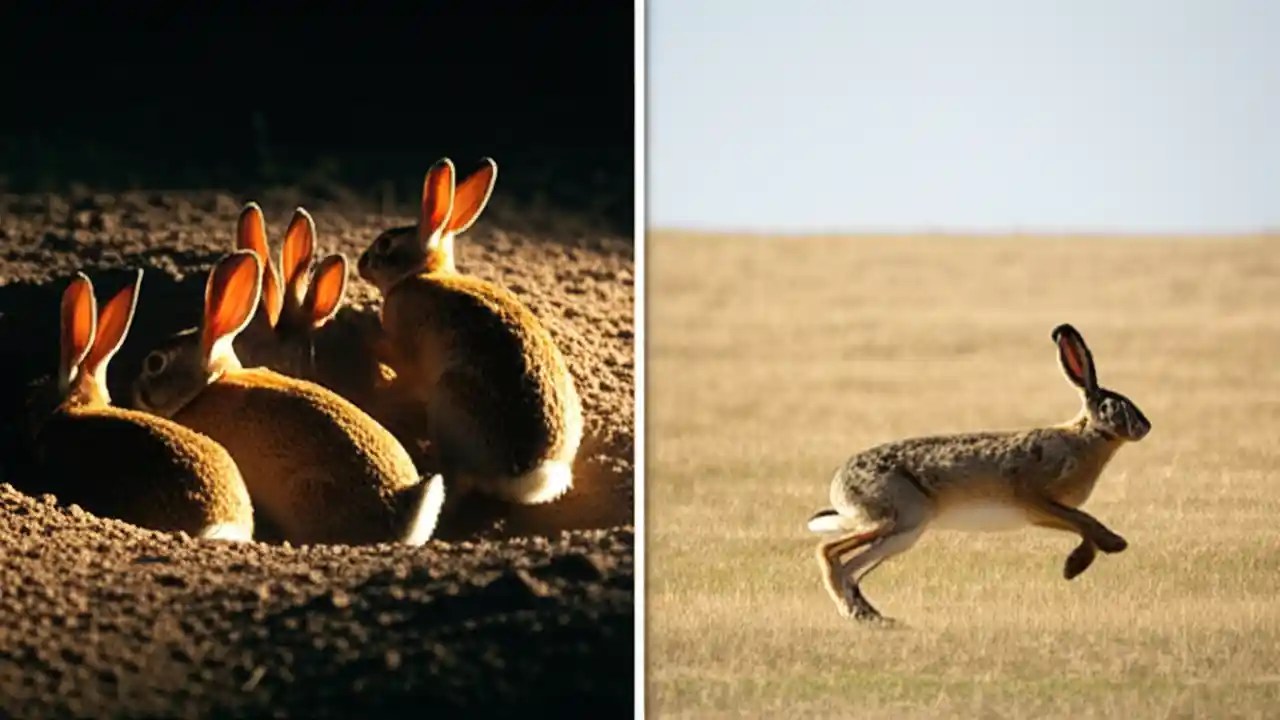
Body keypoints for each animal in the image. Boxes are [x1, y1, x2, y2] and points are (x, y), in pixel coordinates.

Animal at [807, 324, 1151, 624]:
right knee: (831, 553)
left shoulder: (1040, 512)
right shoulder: (1035, 499)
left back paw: (872, 616)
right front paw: (1113, 545)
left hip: (903, 533)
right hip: (894, 519)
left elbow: (1083, 528)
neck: (1084, 437)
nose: (1145, 427)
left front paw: (1073, 567)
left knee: (850, 566)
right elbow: (1086, 522)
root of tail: (839, 487)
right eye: (1112, 407)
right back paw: (858, 613)